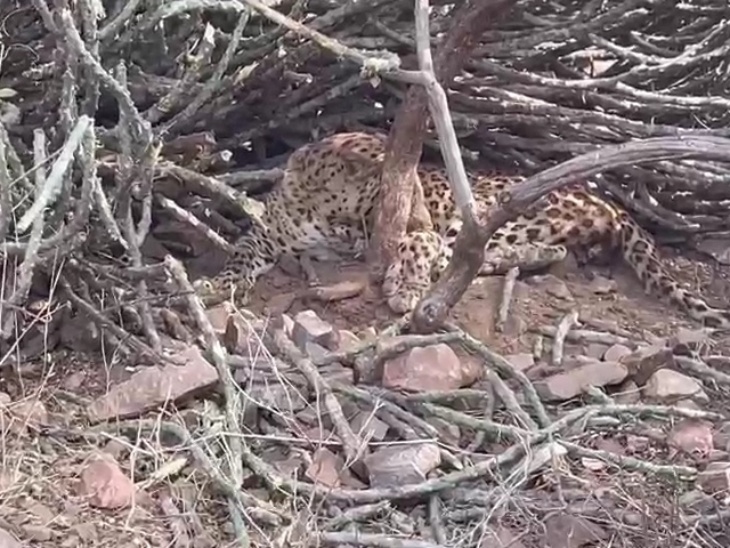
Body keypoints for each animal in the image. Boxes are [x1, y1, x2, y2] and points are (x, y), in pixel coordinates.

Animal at [194, 131, 730, 330]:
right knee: (547, 255)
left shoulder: (425, 232)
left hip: (490, 212)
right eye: (395, 192)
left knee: (474, 253)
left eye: (416, 189)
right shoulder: (269, 230)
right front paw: (216, 284)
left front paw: (405, 288)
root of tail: (606, 200)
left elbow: (417, 244)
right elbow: (241, 252)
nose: (418, 215)